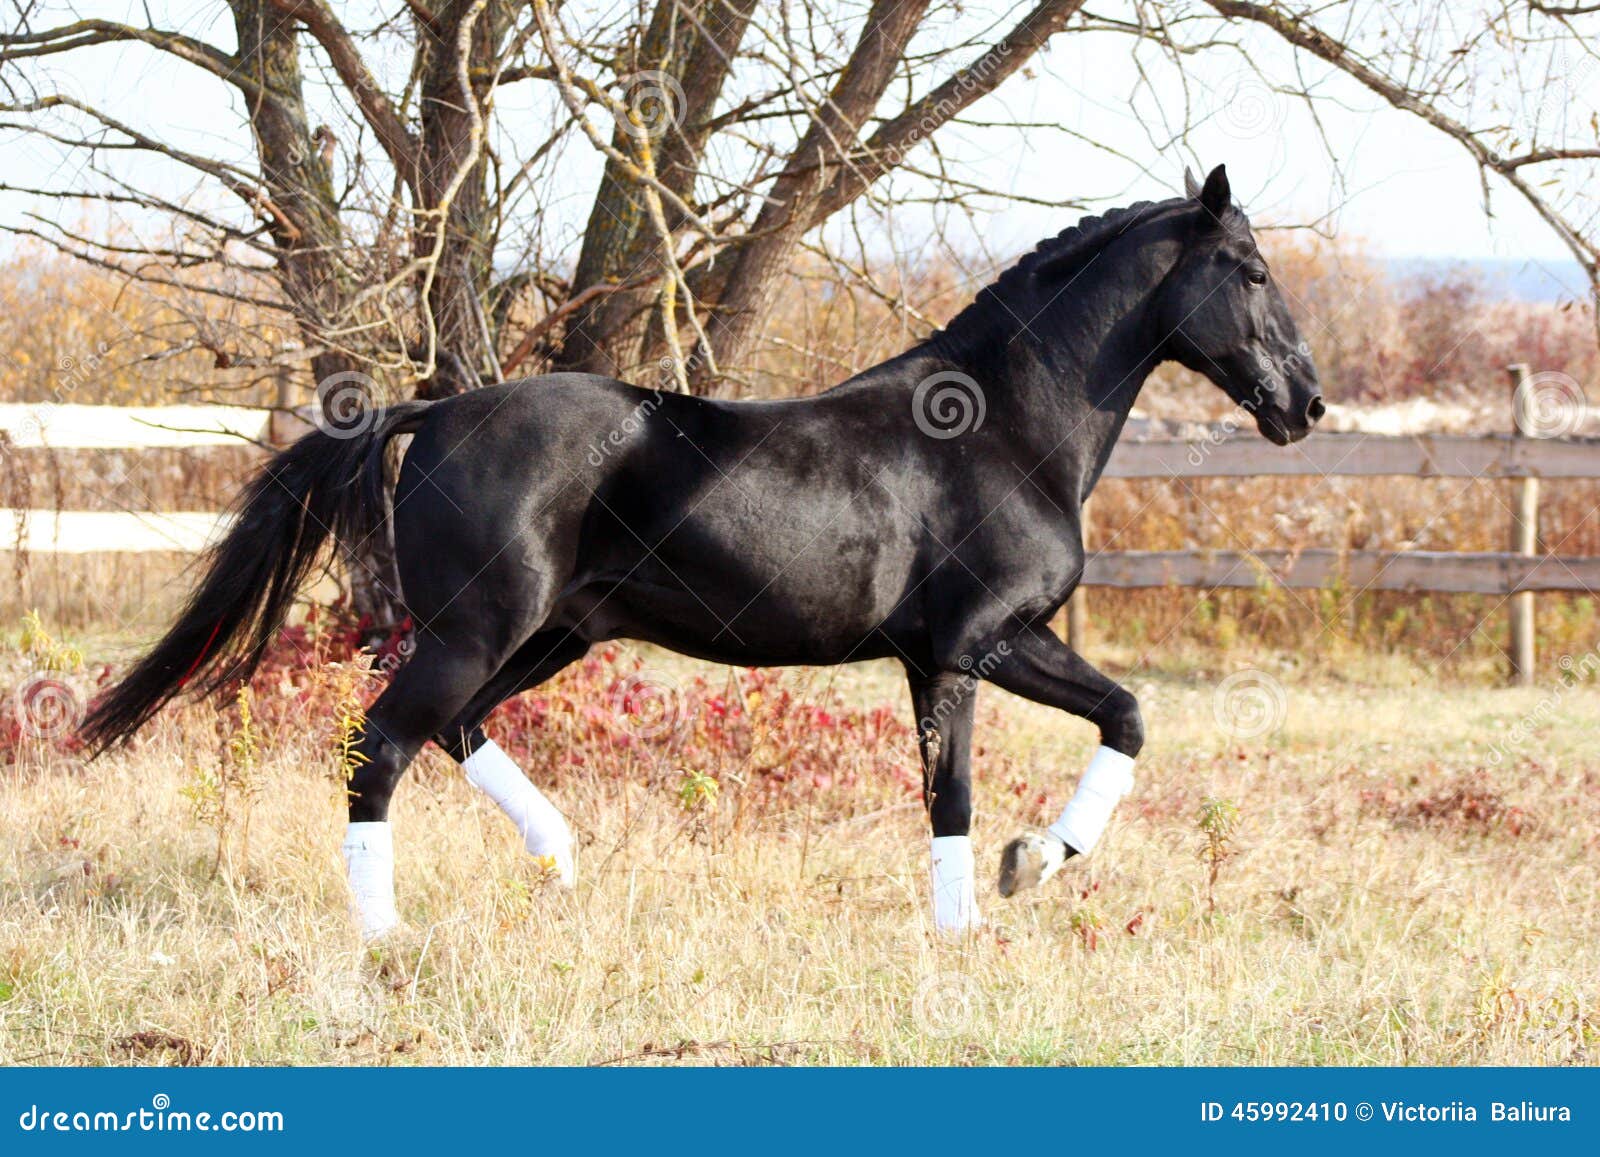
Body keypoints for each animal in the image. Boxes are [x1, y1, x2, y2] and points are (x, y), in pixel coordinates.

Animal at [80, 165, 1323, 936]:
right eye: (1252, 271)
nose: (1302, 403)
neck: (1002, 428)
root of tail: (431, 414)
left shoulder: (985, 646)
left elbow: (1123, 716)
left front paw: (1027, 869)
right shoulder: (968, 647)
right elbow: (960, 792)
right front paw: (985, 903)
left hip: (543, 637)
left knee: (451, 730)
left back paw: (561, 865)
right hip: (480, 629)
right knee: (380, 745)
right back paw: (389, 932)